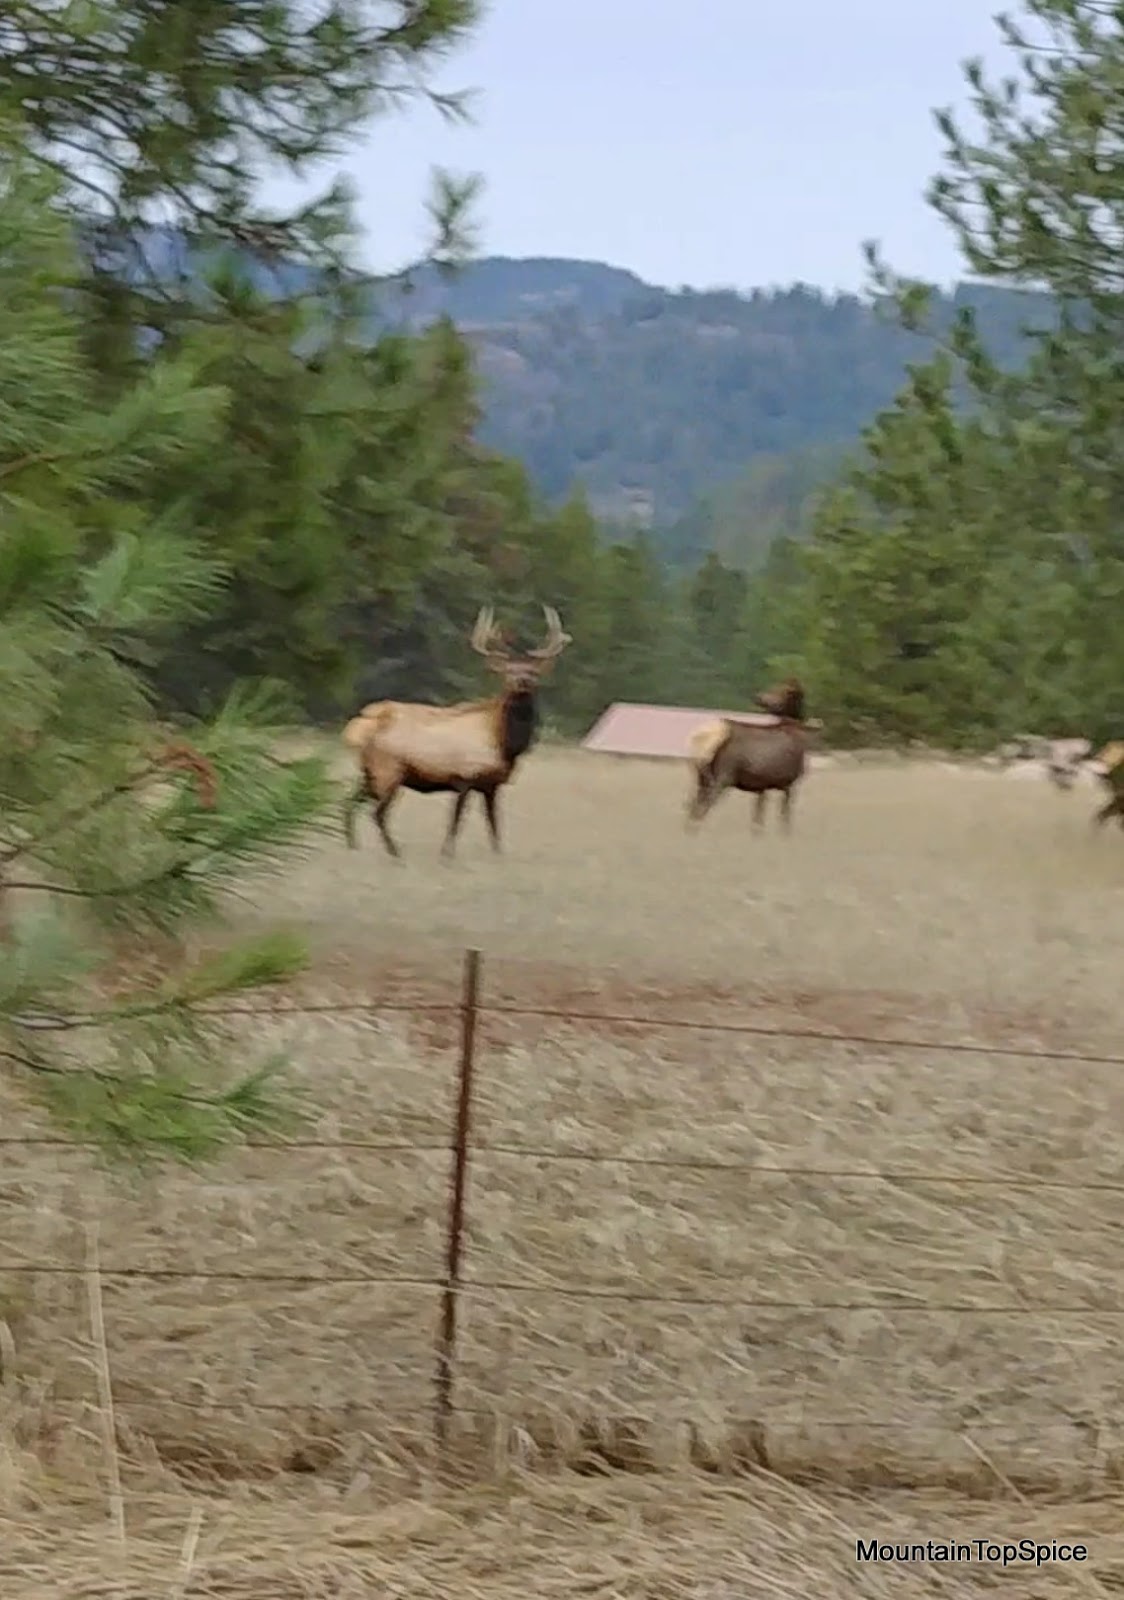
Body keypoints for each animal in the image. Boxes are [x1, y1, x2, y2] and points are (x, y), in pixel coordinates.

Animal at [341, 605, 572, 861]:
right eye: (507, 673)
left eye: (533, 672)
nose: (522, 681)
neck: (505, 744)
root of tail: (362, 726)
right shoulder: (465, 776)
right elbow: (457, 819)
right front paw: (447, 854)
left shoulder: (491, 784)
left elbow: (494, 823)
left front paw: (498, 854)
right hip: (389, 770)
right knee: (377, 812)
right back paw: (395, 853)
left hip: (370, 773)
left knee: (349, 802)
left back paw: (353, 845)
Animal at [686, 678, 812, 833]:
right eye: (776, 687)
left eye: (787, 691)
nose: (759, 697)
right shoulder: (789, 784)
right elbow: (784, 819)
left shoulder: (763, 785)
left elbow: (759, 819)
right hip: (723, 776)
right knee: (701, 807)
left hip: (702, 777)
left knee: (692, 805)